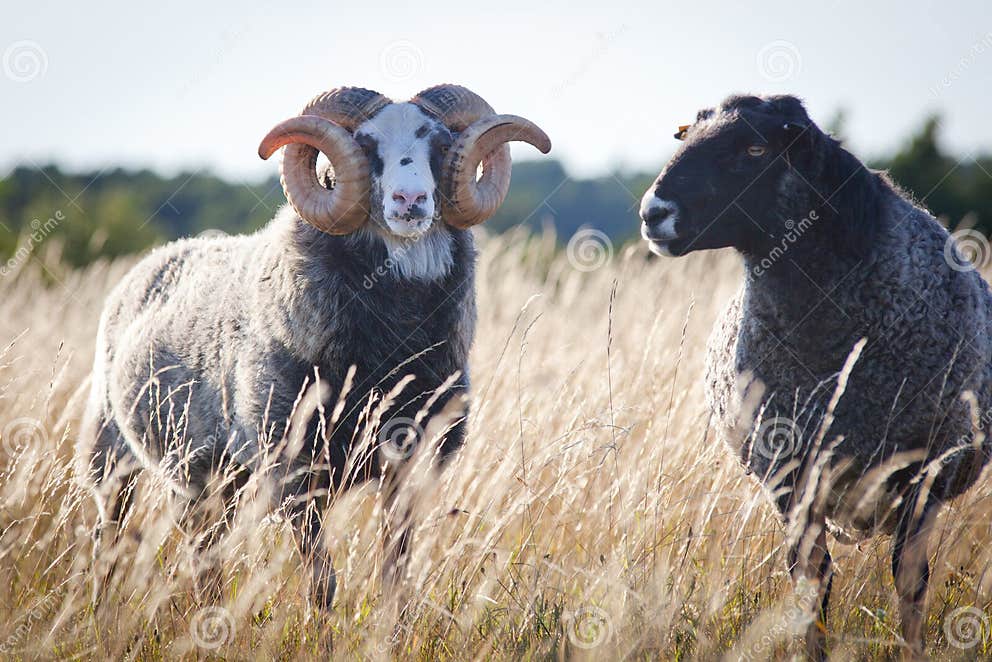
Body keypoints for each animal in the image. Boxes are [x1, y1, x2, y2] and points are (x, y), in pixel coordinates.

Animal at [77, 84, 551, 607]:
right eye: (366, 145)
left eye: (443, 144)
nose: (410, 199)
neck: (390, 348)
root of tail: (156, 258)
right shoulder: (294, 470)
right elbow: (322, 583)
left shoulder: (409, 466)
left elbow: (395, 576)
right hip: (113, 453)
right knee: (111, 538)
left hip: (209, 477)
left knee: (202, 550)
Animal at [638, 94, 992, 659]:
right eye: (686, 136)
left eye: (755, 149)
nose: (654, 213)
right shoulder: (790, 475)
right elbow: (811, 580)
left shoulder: (925, 472)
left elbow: (909, 582)